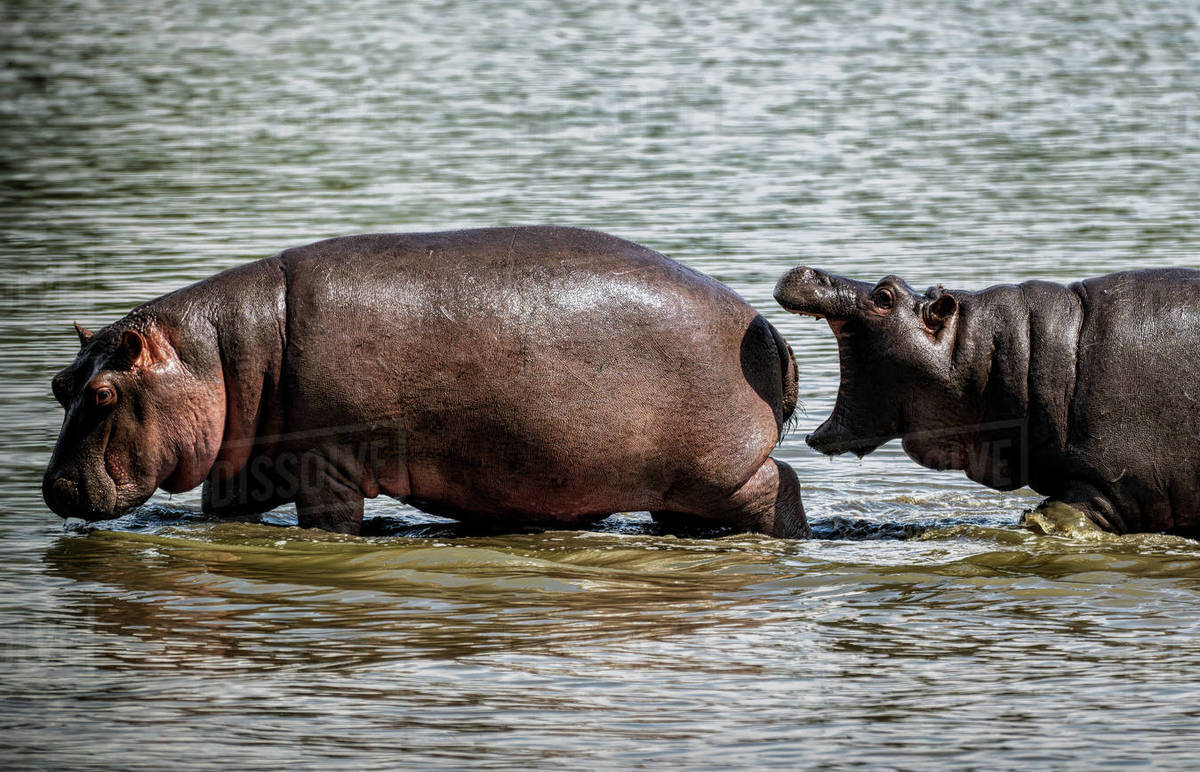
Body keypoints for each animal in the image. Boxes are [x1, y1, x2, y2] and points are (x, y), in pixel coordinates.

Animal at [44, 226, 808, 537]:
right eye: (59, 383)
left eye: (104, 394)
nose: (51, 489)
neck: (222, 356)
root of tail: (764, 326)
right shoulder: (245, 467)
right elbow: (220, 512)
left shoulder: (328, 463)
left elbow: (328, 523)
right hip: (680, 484)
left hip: (720, 471)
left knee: (783, 486)